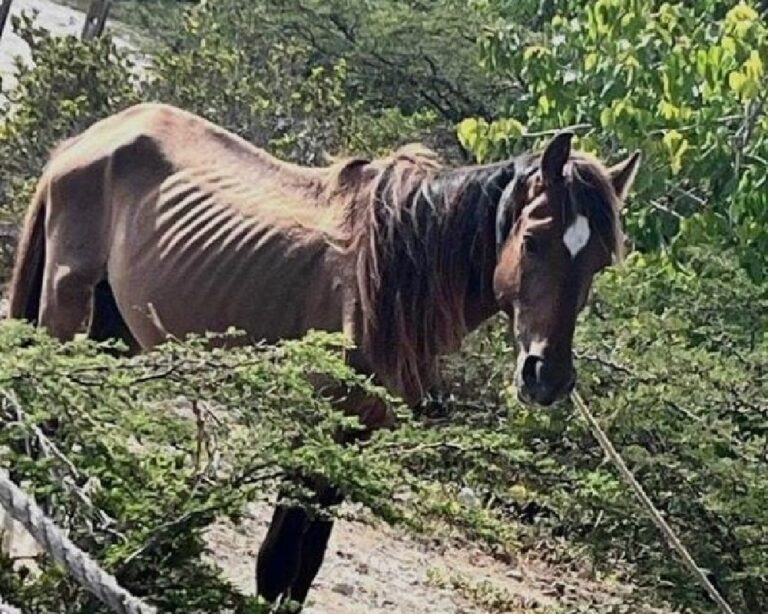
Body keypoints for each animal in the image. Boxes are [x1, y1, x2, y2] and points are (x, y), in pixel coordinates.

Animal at [8, 102, 640, 606]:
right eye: (532, 241)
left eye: (599, 262)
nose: (547, 377)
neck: (391, 275)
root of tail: (96, 135)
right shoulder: (315, 424)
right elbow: (278, 561)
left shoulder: (354, 437)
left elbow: (304, 566)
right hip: (65, 311)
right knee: (42, 424)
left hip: (112, 331)